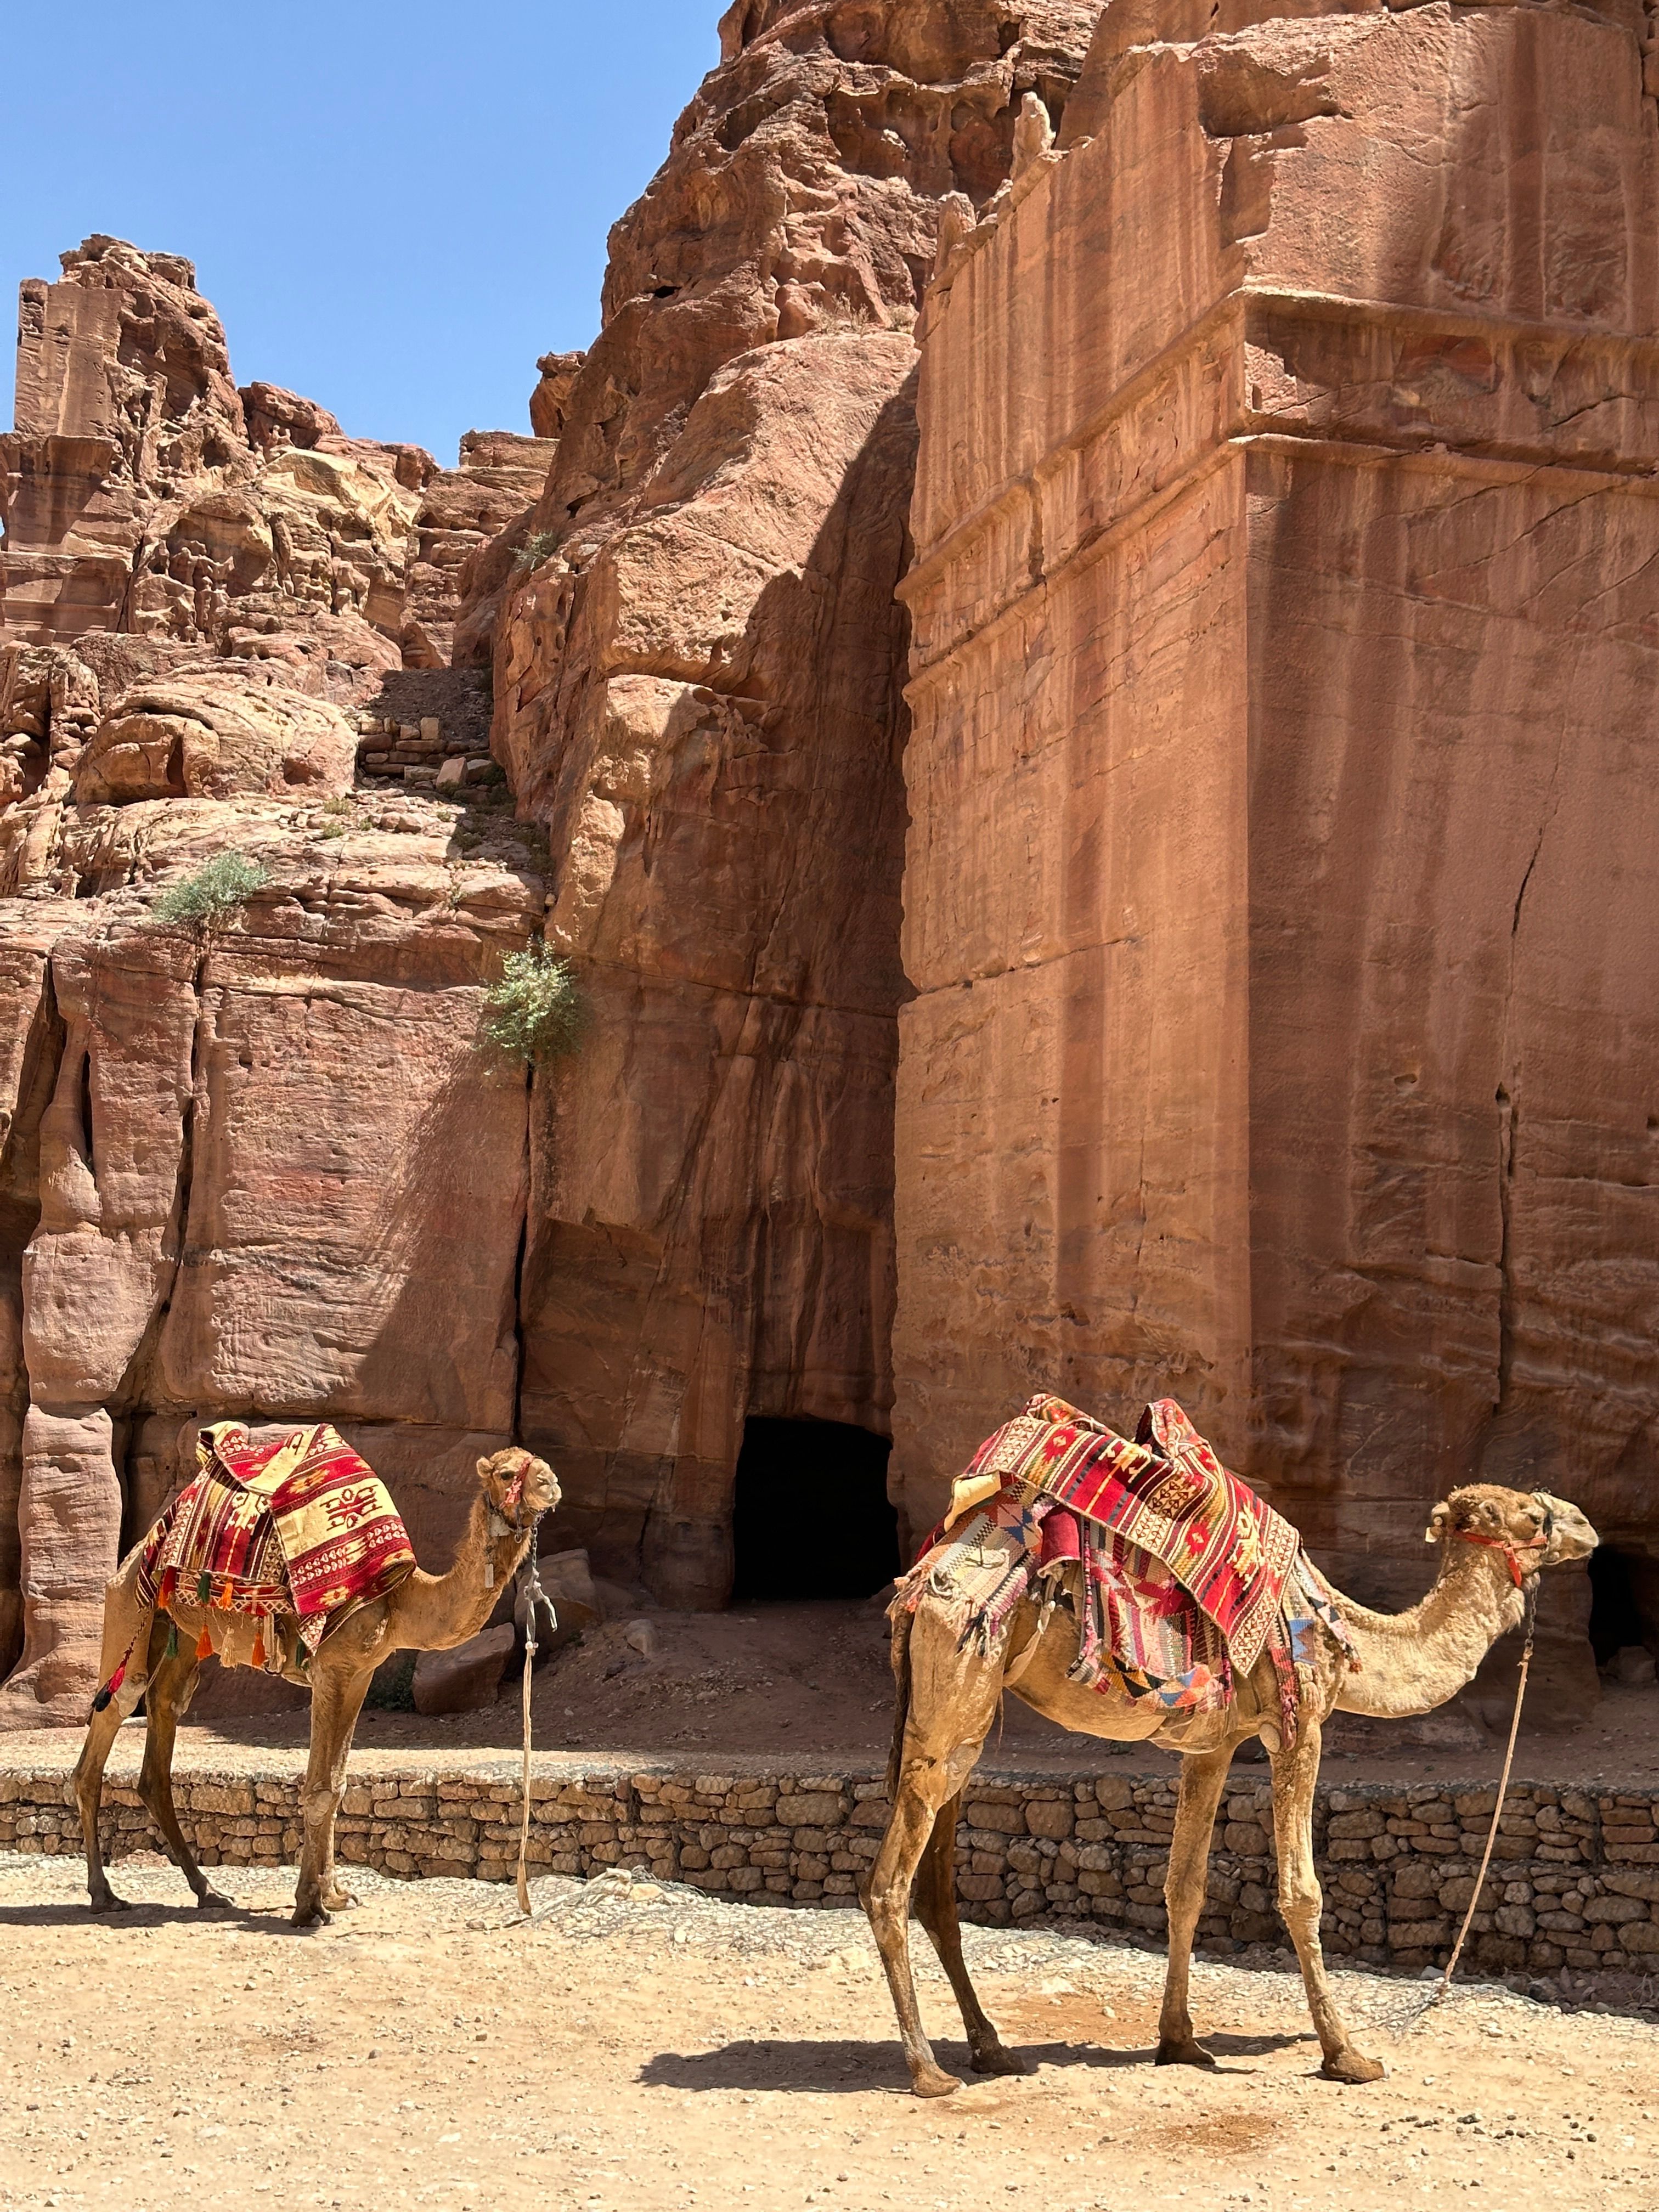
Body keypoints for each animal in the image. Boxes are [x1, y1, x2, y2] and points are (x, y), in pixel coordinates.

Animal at [73, 1445, 559, 1928]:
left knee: (164, 1720)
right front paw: (309, 1907)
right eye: (507, 1473)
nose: (551, 1484)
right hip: (129, 1606)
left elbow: (339, 1783)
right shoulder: (332, 1669)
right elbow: (320, 1788)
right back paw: (104, 1895)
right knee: (115, 1712)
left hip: (182, 1637)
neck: (399, 1599)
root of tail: (139, 1550)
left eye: (543, 1465)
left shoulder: (360, 1673)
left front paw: (336, 1895)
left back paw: (209, 1891)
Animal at [867, 1480, 1598, 2096]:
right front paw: (1348, 2055)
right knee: (888, 1886)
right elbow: (1302, 1893)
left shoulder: (1213, 1745)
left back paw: (991, 2049)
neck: (1345, 1634)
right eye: (1533, 1516)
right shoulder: (1299, 1726)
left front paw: (1180, 2043)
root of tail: (917, 1588)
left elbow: (1184, 1886)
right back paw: (928, 2070)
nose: (1587, 1526)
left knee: (936, 1884)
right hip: (957, 1680)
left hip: (964, 1718)